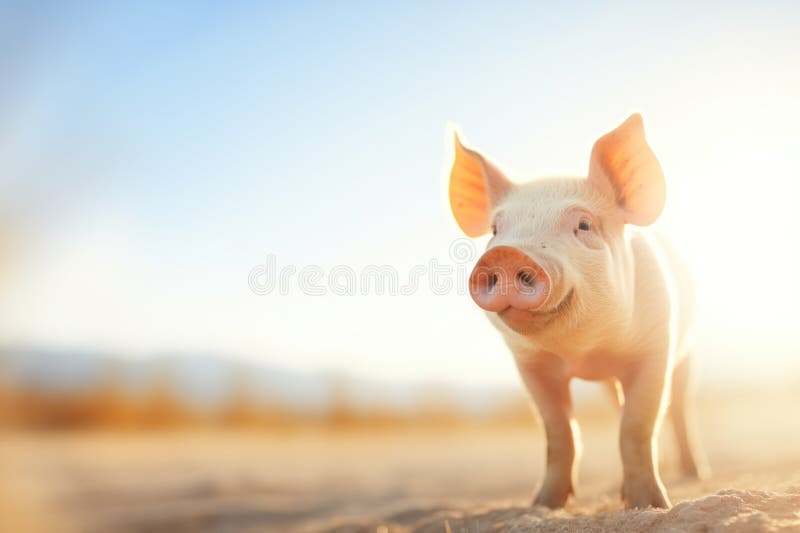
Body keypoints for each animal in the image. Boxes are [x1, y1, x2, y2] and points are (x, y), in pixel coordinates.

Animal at [447, 114, 709, 509]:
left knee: (679, 406)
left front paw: (651, 505)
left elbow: (637, 423)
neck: (584, 354)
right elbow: (558, 432)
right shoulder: (530, 366)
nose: (507, 253)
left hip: (688, 353)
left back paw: (696, 473)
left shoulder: (656, 347)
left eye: (584, 225)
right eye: (495, 229)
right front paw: (543, 505)